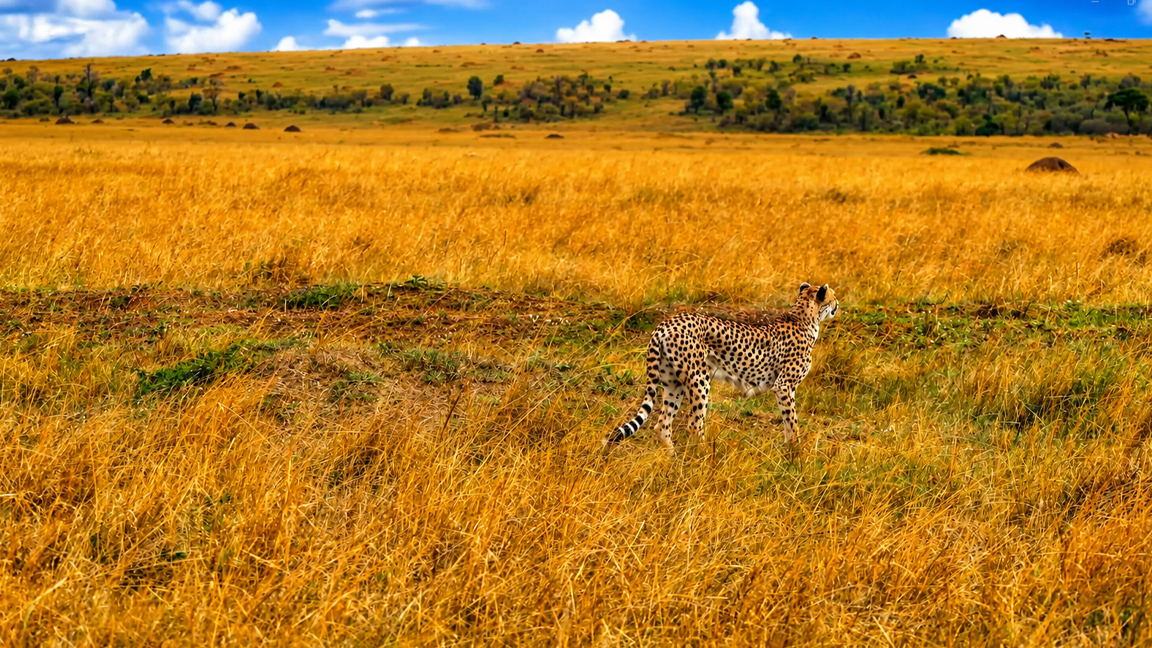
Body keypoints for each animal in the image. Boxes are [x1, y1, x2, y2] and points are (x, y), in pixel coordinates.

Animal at [605, 282, 839, 452]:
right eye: (833, 296)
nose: (838, 305)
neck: (803, 316)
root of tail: (667, 322)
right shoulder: (784, 386)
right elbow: (792, 422)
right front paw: (794, 451)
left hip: (673, 382)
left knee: (662, 425)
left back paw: (672, 458)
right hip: (699, 378)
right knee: (694, 424)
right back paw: (704, 456)